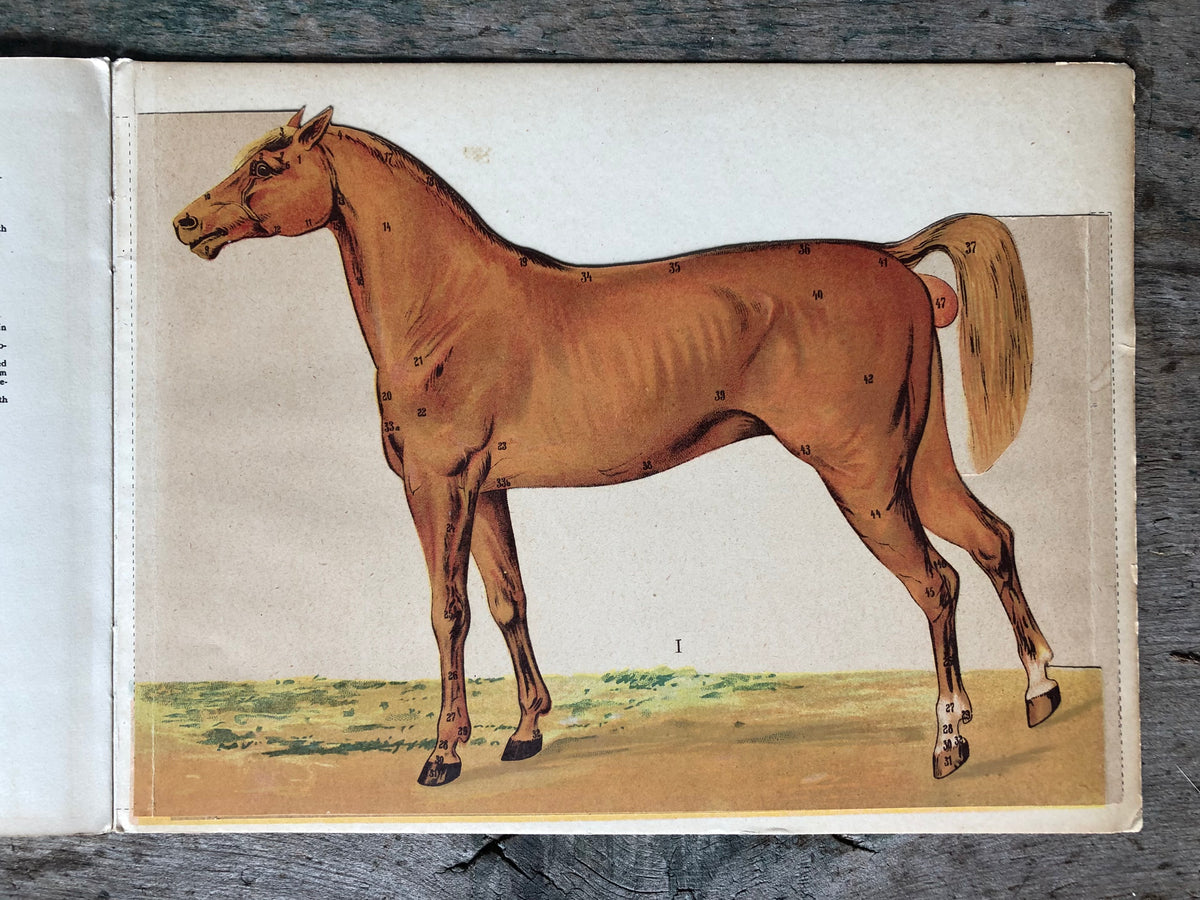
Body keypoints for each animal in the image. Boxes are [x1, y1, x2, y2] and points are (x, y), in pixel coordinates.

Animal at [173, 107, 1059, 787]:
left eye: (269, 163)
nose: (186, 221)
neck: (449, 306)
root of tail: (894, 259)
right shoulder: (487, 490)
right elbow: (508, 600)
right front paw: (525, 731)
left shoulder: (437, 485)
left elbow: (448, 611)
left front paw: (445, 752)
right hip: (918, 463)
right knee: (991, 541)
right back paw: (1037, 693)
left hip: (863, 477)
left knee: (937, 582)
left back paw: (949, 740)